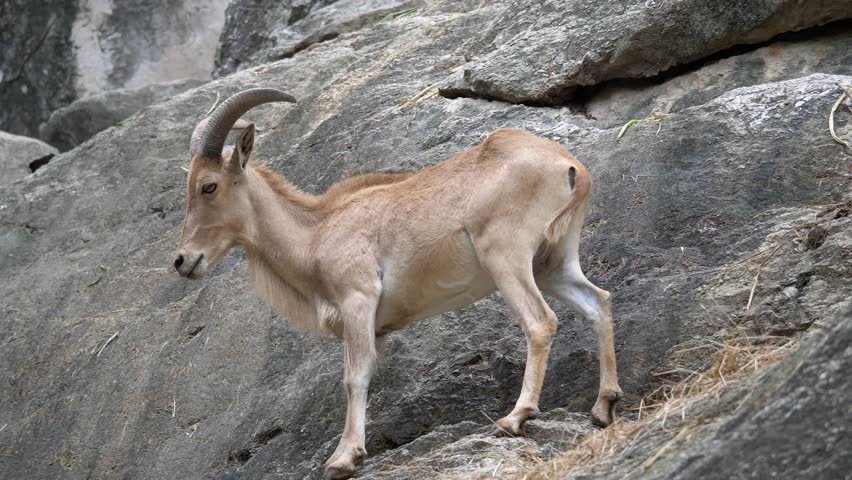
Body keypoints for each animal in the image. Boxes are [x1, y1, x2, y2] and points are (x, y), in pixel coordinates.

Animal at [174, 89, 622, 480]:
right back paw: (604, 405)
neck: (317, 233)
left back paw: (516, 417)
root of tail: (568, 165)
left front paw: (343, 458)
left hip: (506, 257)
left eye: (209, 186)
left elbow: (354, 377)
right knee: (598, 301)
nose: (183, 261)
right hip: (553, 262)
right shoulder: (378, 327)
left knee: (540, 322)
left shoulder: (358, 300)